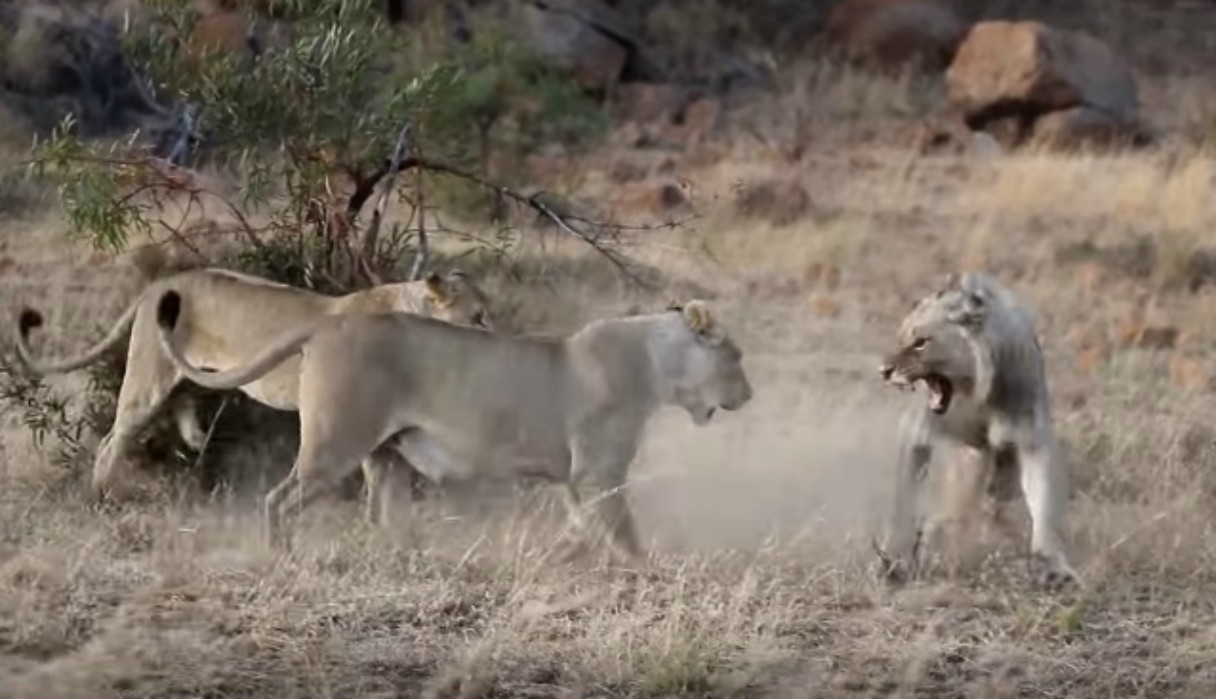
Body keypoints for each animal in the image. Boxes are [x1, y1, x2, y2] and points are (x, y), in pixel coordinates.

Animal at [15, 267, 495, 502]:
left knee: (176, 406)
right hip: (147, 376)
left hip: (188, 374)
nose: (498, 336)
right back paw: (104, 499)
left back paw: (193, 439)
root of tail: (160, 282)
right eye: (478, 316)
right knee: (111, 439)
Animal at [153, 292, 753, 555]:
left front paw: (560, 558)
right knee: (277, 500)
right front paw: (646, 574)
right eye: (737, 357)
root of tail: (327, 325)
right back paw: (284, 558)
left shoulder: (574, 481)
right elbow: (625, 537)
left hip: (383, 456)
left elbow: (581, 529)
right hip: (334, 444)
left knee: (379, 516)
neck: (655, 364)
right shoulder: (598, 475)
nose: (749, 395)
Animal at [875, 272, 1079, 587]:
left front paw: (1053, 567)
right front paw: (895, 557)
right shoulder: (916, 428)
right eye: (901, 339)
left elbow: (1044, 503)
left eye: (921, 343)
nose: (884, 371)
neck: (977, 392)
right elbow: (903, 501)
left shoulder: (1032, 438)